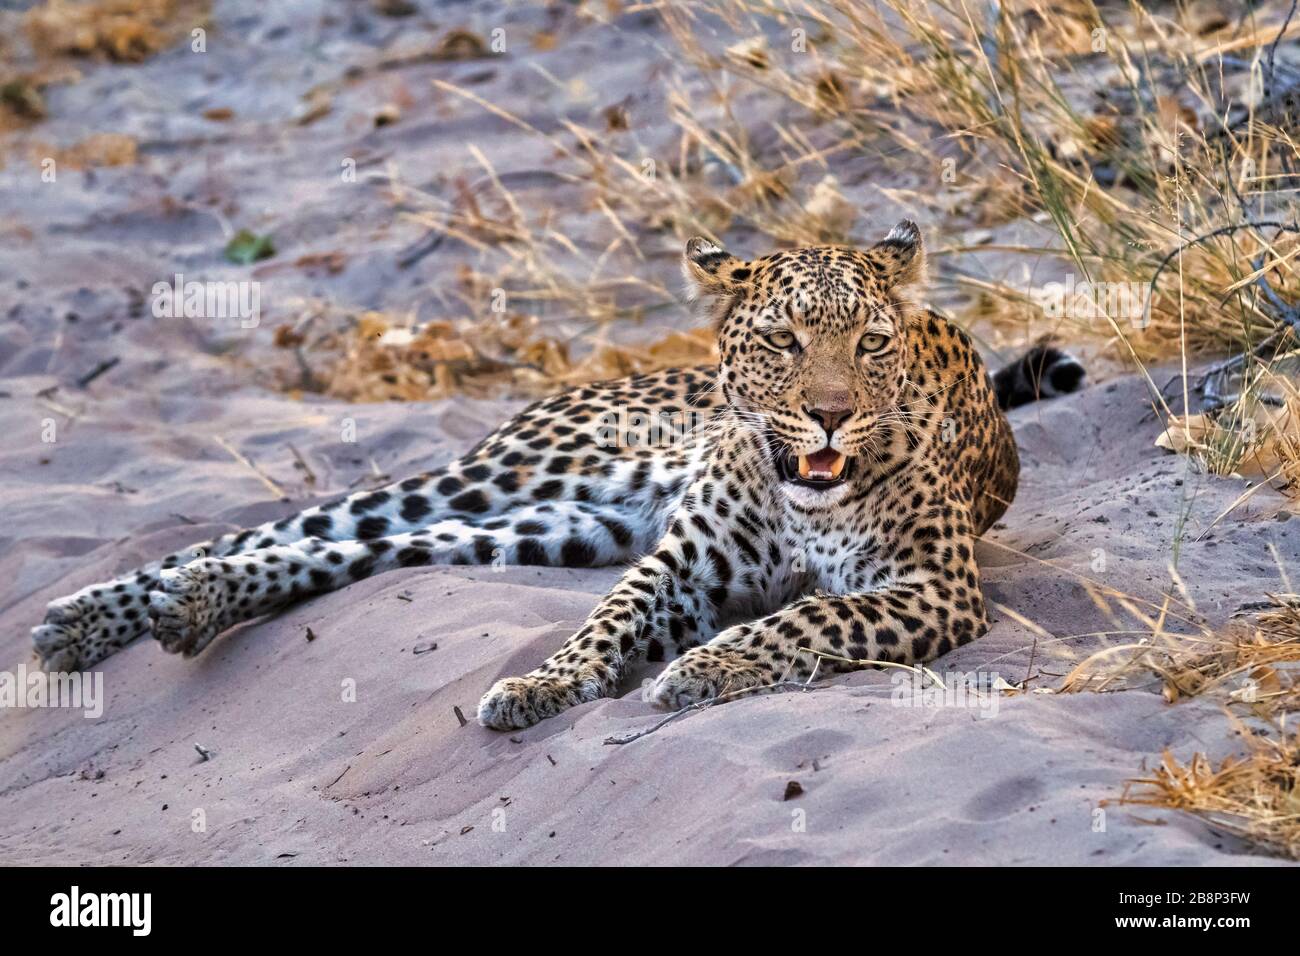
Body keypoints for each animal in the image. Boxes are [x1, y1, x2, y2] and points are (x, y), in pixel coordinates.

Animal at [29, 220, 1085, 731]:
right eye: (784, 341)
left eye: (871, 344)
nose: (830, 414)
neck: (801, 495)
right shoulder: (677, 563)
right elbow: (608, 619)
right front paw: (549, 682)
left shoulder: (934, 585)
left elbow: (808, 616)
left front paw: (701, 668)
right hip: (517, 478)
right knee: (302, 526)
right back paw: (104, 612)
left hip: (557, 525)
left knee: (370, 548)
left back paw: (176, 603)